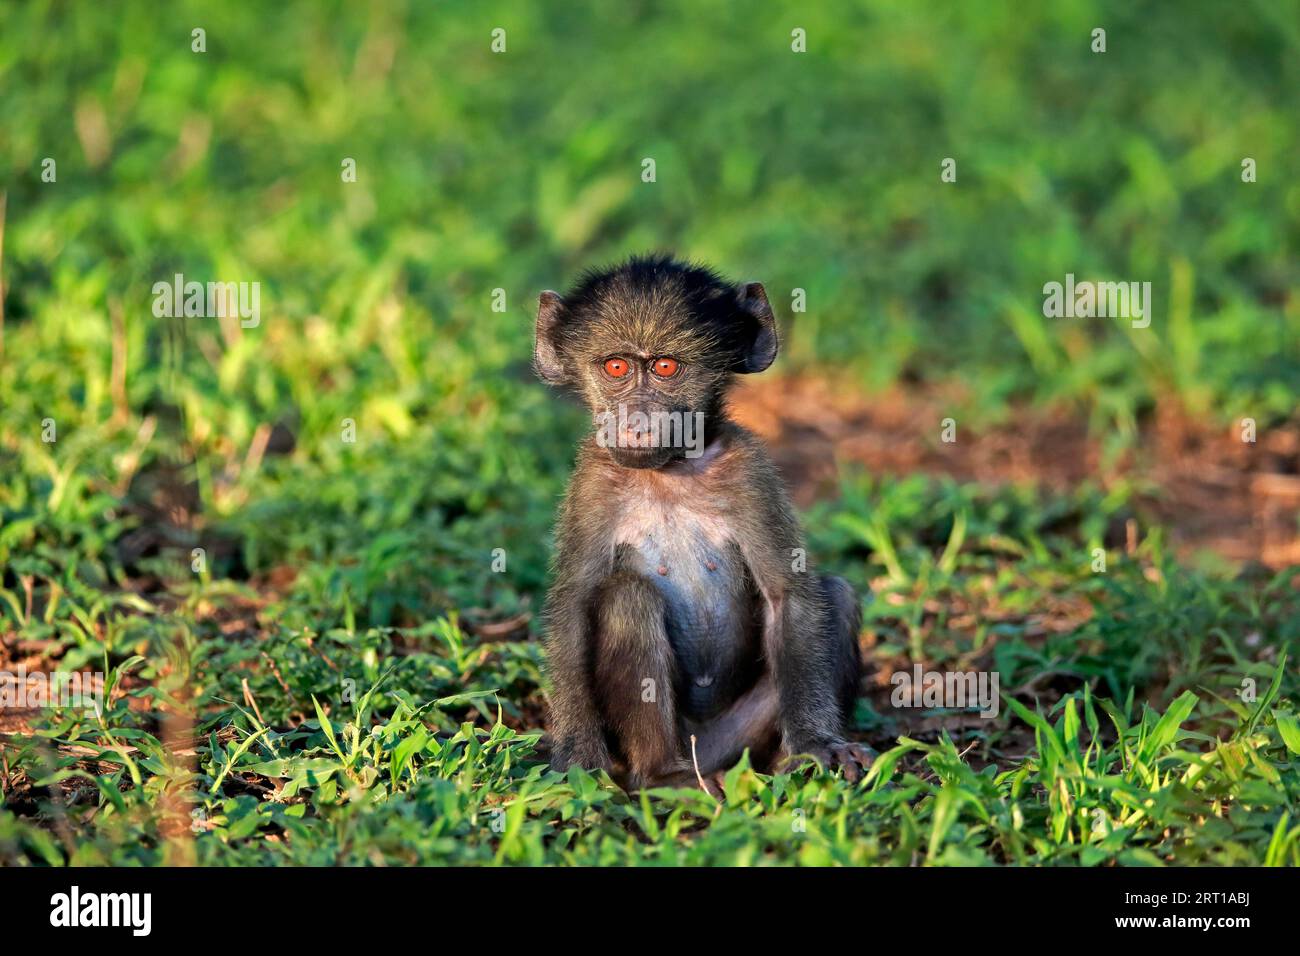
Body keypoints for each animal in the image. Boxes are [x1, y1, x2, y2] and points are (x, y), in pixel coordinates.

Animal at [534, 253, 872, 792]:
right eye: (616, 367)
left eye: (666, 367)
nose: (636, 422)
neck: (668, 471)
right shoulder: (592, 481)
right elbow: (574, 606)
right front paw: (578, 757)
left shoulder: (749, 470)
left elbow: (789, 596)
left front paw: (818, 744)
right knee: (629, 597)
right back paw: (663, 775)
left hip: (730, 741)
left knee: (834, 594)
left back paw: (783, 764)